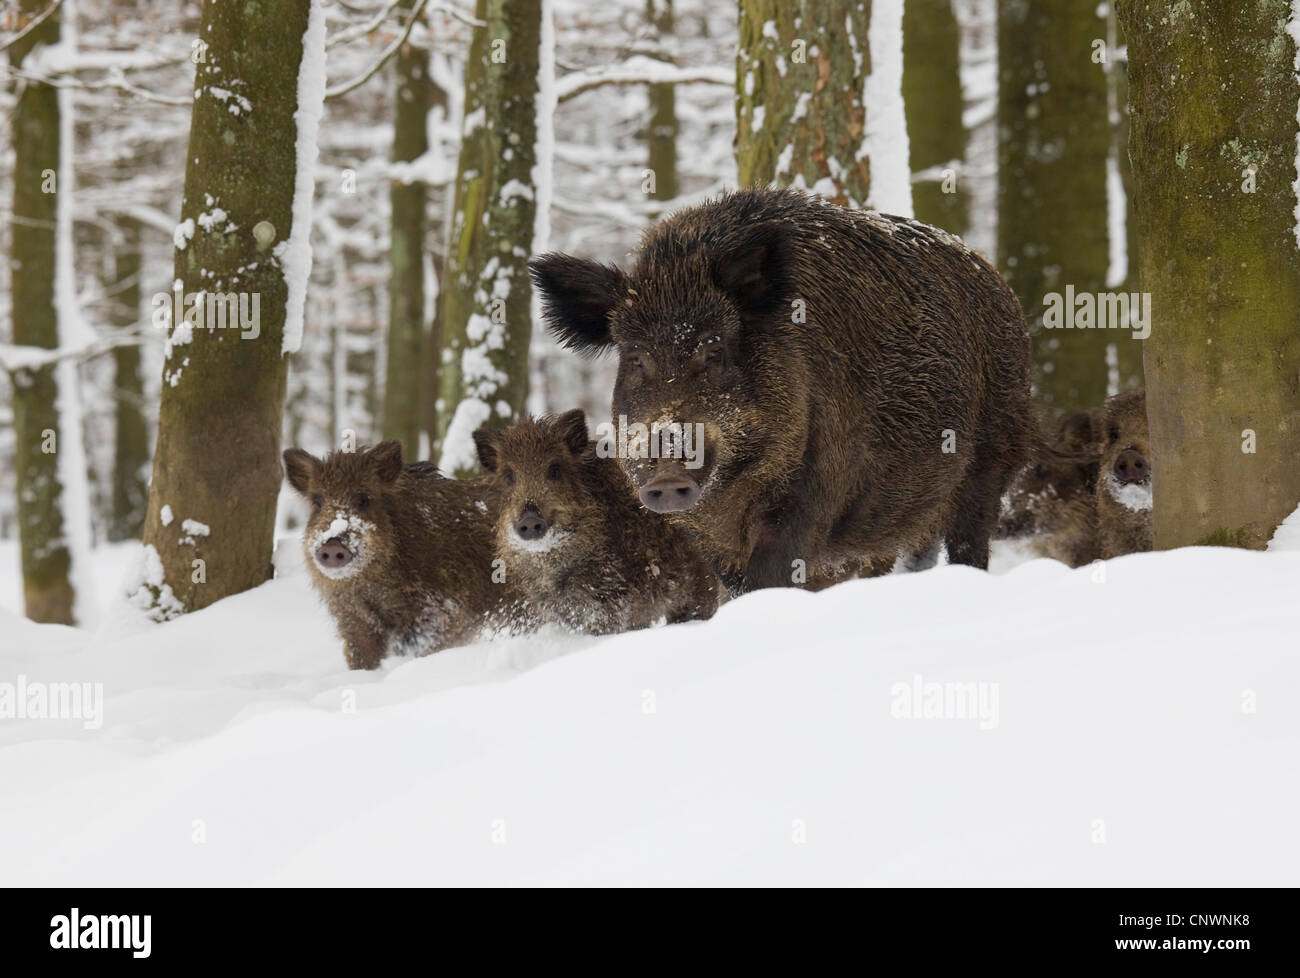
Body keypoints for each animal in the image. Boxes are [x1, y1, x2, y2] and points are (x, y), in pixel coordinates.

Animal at [529, 187, 1032, 592]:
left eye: (714, 350)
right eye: (634, 358)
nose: (667, 476)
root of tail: (1000, 284)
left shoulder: (814, 490)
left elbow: (771, 577)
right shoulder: (706, 535)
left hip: (992, 458)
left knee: (971, 541)